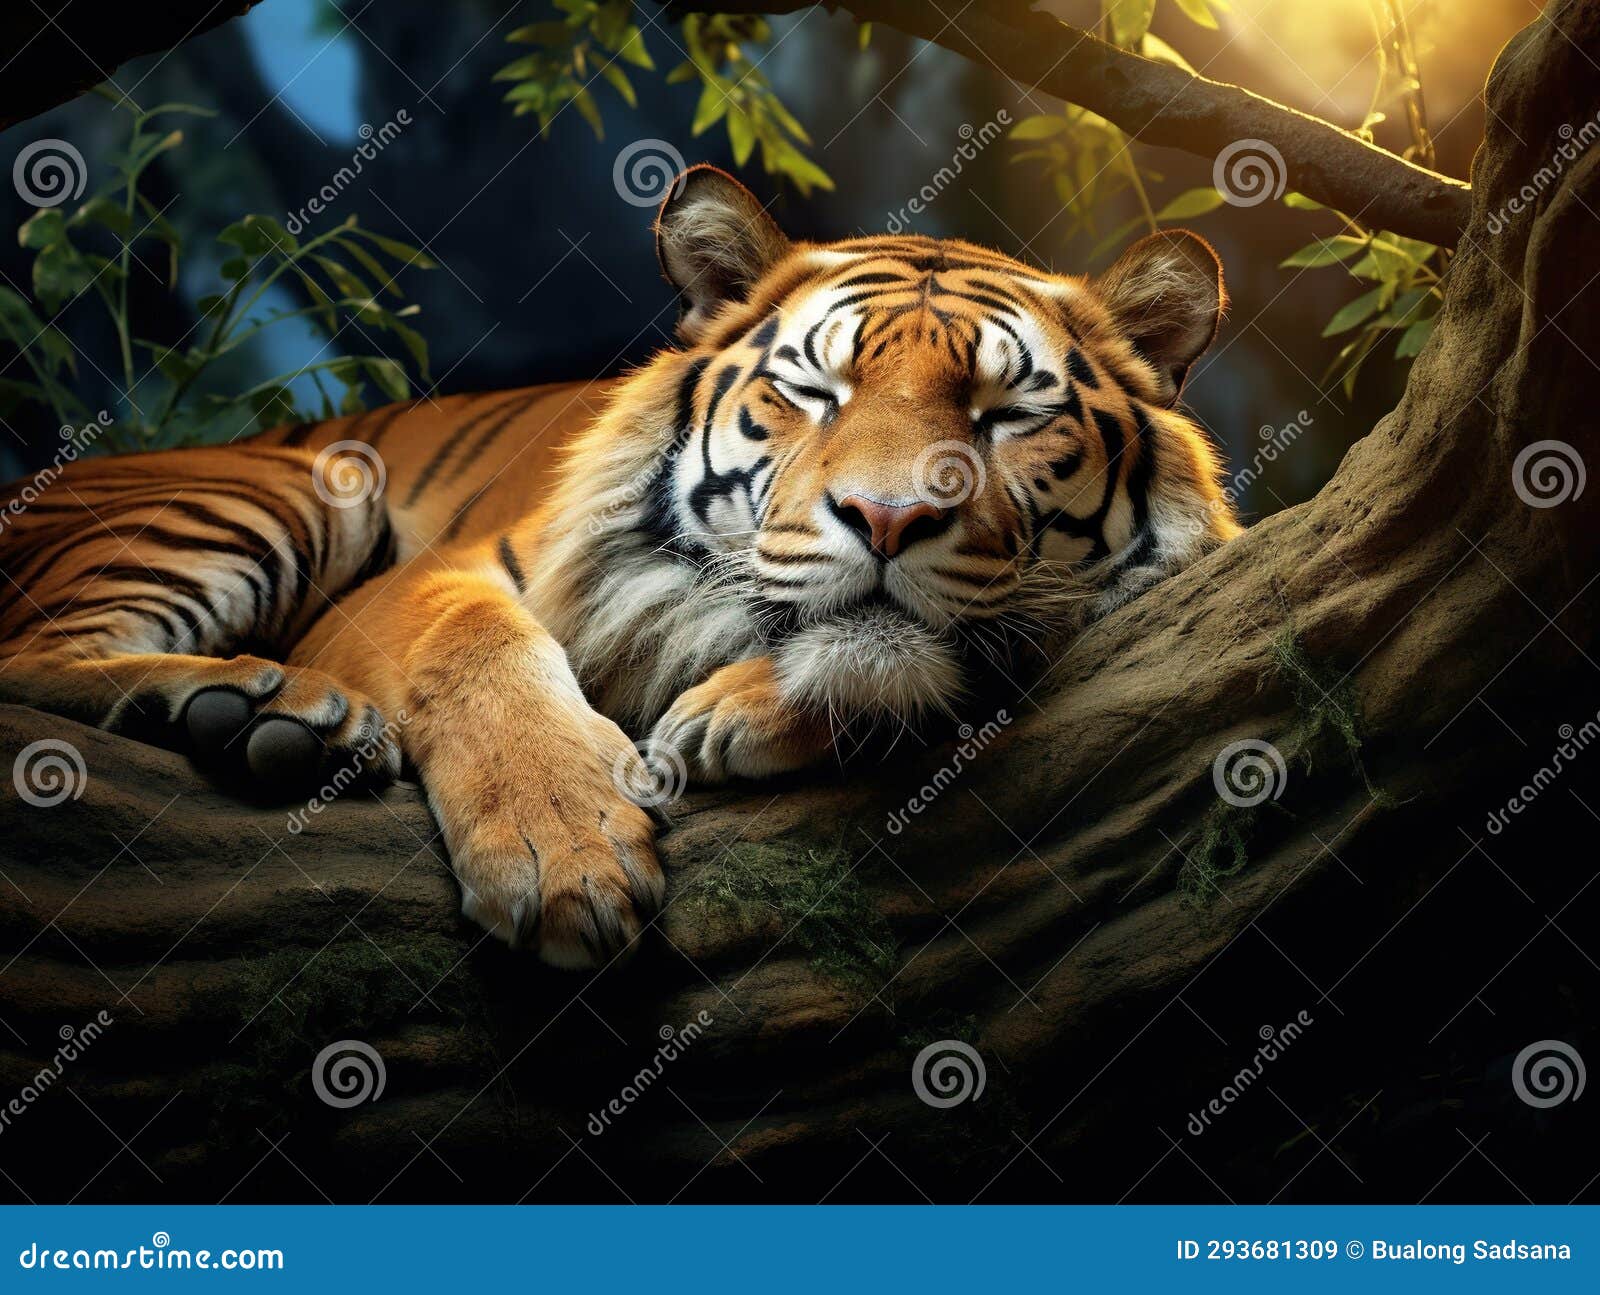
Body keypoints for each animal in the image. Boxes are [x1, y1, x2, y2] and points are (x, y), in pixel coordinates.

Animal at [0, 166, 1239, 968]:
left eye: (1008, 412)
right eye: (814, 389)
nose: (888, 517)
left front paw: (728, 716)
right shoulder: (427, 580)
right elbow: (479, 649)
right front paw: (564, 854)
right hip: (286, 491)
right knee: (30, 656)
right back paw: (262, 708)